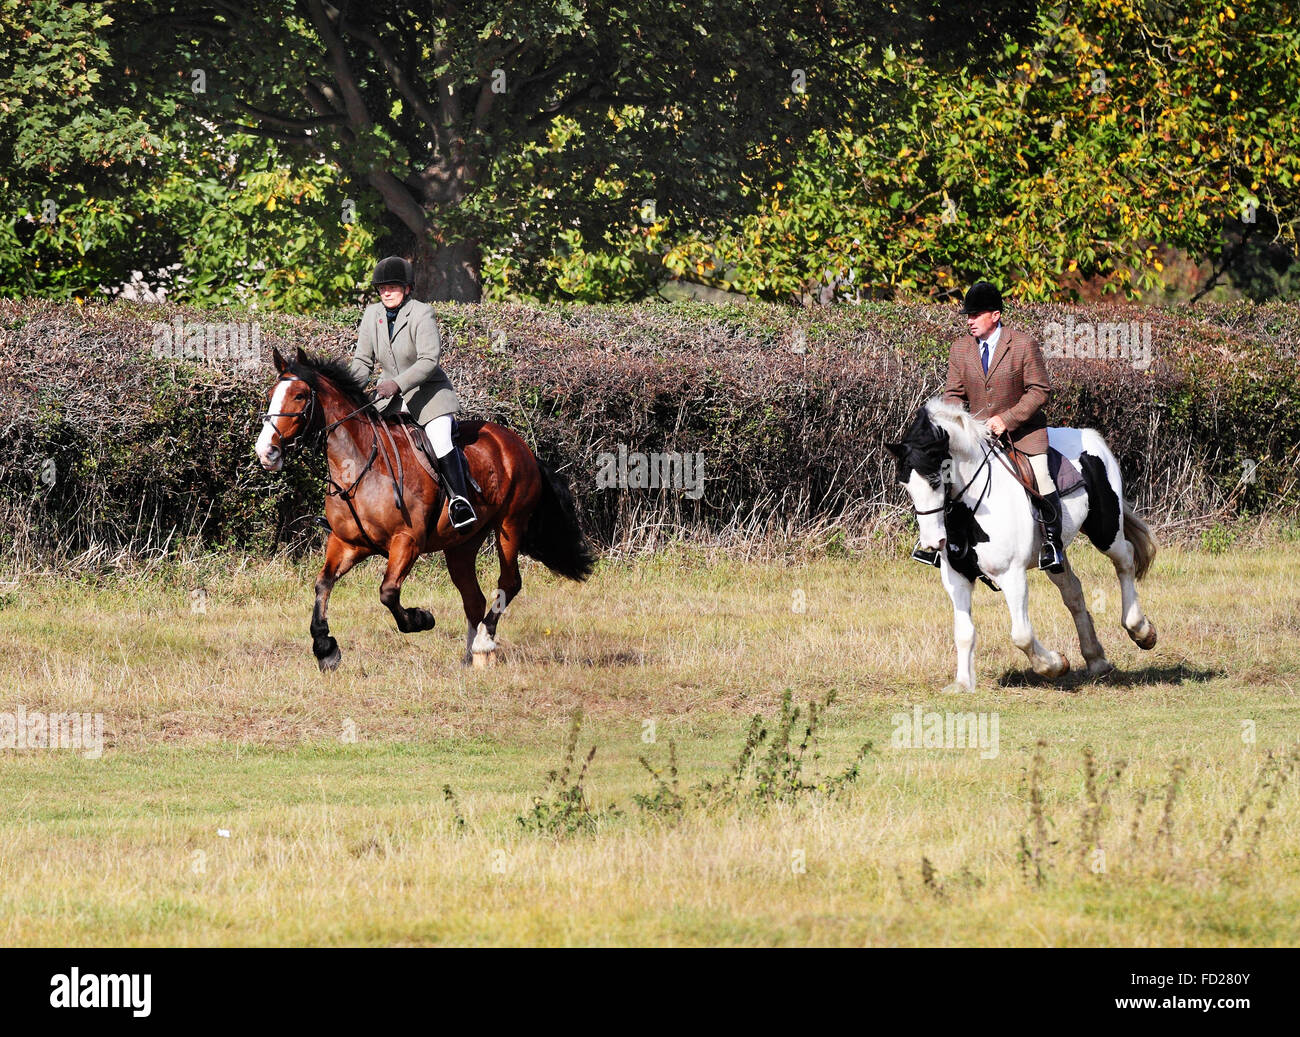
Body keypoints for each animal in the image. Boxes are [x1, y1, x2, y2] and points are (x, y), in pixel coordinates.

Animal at [254, 346, 595, 671]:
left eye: (299, 396)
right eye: (270, 395)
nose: (266, 452)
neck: (360, 465)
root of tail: (519, 445)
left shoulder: (407, 542)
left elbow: (388, 592)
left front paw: (421, 619)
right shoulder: (347, 543)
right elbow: (322, 585)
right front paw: (326, 649)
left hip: (510, 525)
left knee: (508, 583)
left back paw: (483, 643)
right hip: (462, 544)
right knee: (473, 597)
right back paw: (470, 658)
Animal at [886, 397, 1157, 692]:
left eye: (937, 480)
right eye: (906, 485)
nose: (933, 542)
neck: (970, 508)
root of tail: (1092, 437)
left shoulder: (1011, 575)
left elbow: (1022, 635)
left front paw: (1056, 665)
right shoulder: (956, 577)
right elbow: (964, 632)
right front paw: (962, 683)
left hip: (1105, 531)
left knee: (1125, 559)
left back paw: (1141, 631)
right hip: (1055, 553)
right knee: (1073, 592)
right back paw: (1096, 660)